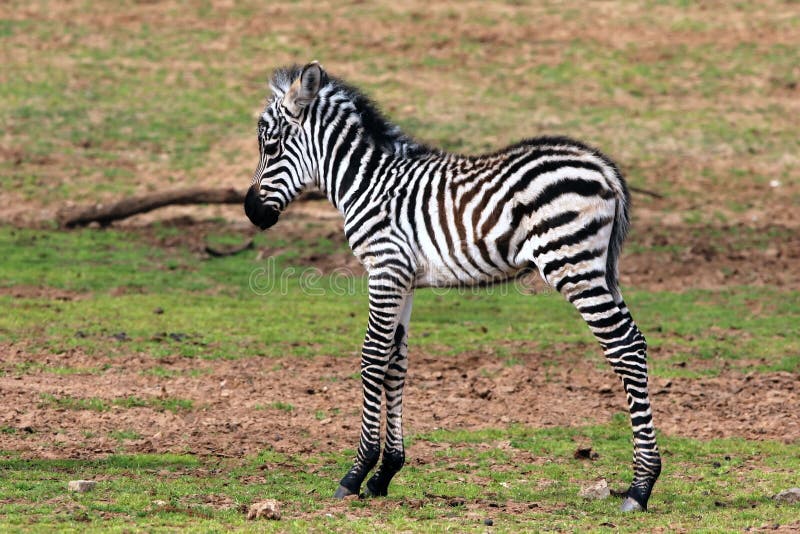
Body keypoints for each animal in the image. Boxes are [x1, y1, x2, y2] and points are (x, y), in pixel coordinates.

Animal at [244, 61, 661, 512]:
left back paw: (640, 488)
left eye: (271, 146)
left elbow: (373, 359)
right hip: (598, 267)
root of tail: (601, 165)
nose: (251, 212)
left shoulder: (384, 267)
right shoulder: (404, 279)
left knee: (624, 347)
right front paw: (385, 474)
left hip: (571, 264)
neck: (367, 182)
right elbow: (396, 364)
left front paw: (356, 474)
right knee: (635, 342)